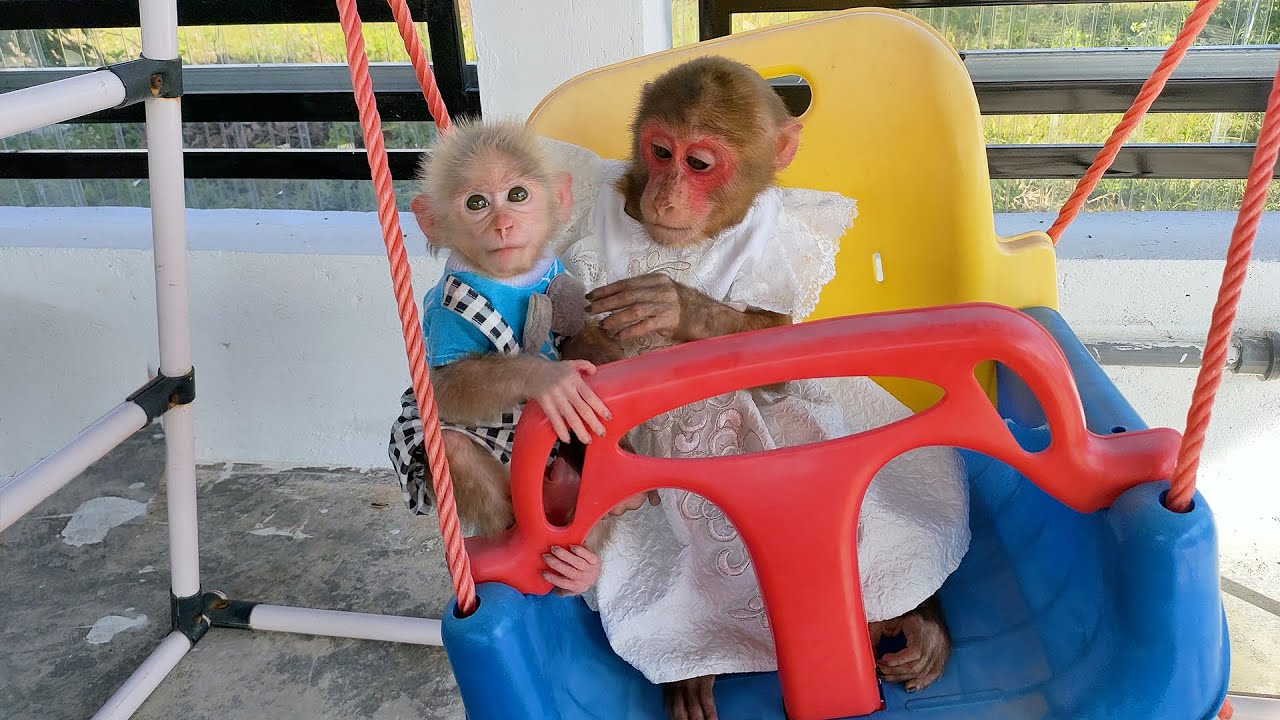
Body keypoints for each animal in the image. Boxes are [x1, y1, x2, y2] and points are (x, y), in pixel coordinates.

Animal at [390, 117, 654, 597]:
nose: (503, 225)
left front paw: (606, 363)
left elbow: (575, 335)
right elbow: (445, 387)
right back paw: (519, 540)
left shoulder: (557, 274)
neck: (512, 280)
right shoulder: (446, 314)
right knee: (454, 446)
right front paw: (547, 379)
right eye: (476, 203)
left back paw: (576, 563)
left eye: (517, 195)